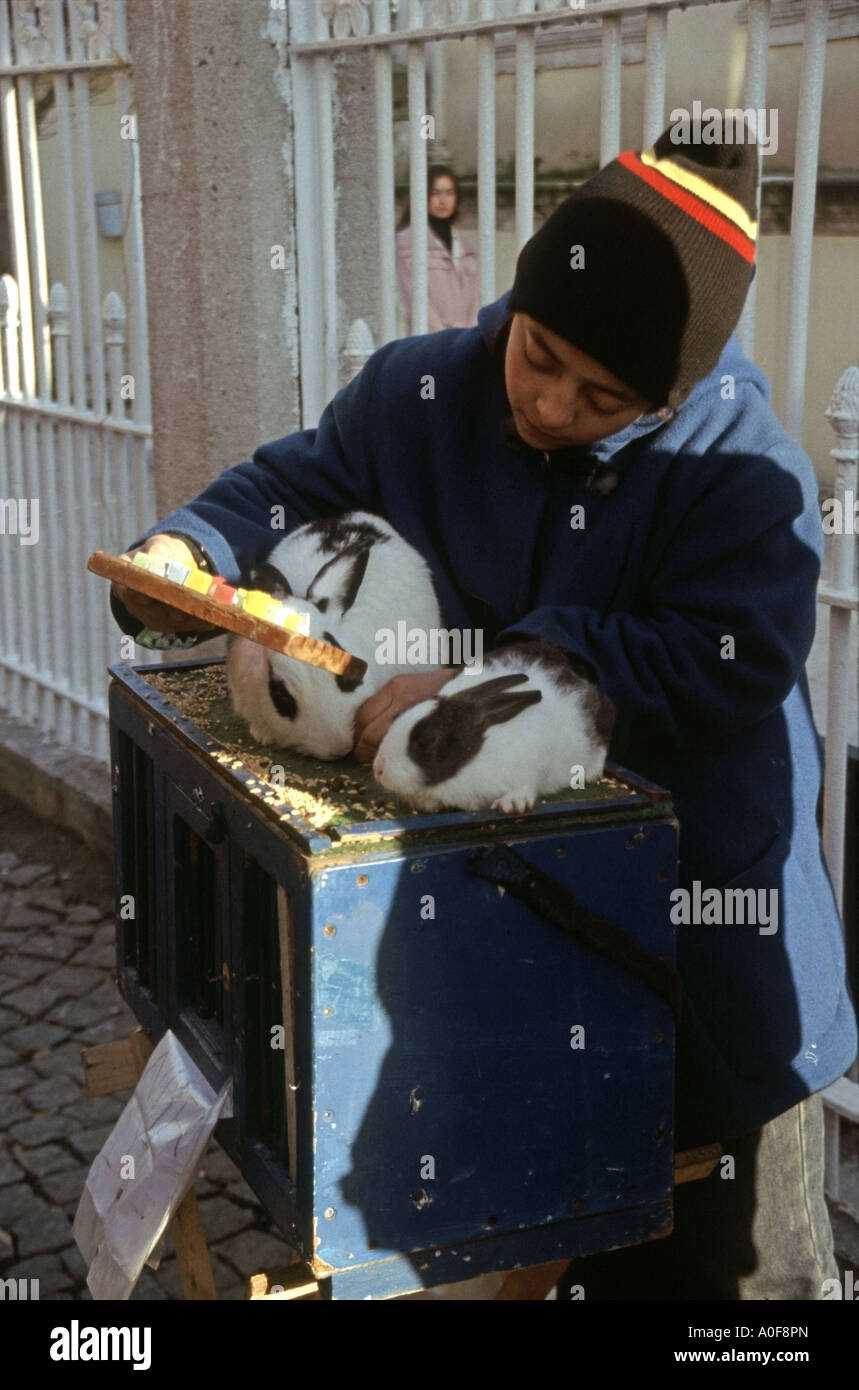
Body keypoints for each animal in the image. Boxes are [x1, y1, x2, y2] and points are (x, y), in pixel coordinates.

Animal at [371, 638, 616, 813]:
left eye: (429, 740)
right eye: (395, 717)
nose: (378, 769)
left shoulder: (532, 766)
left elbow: (526, 786)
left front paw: (511, 804)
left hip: (594, 716)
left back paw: (592, 772)